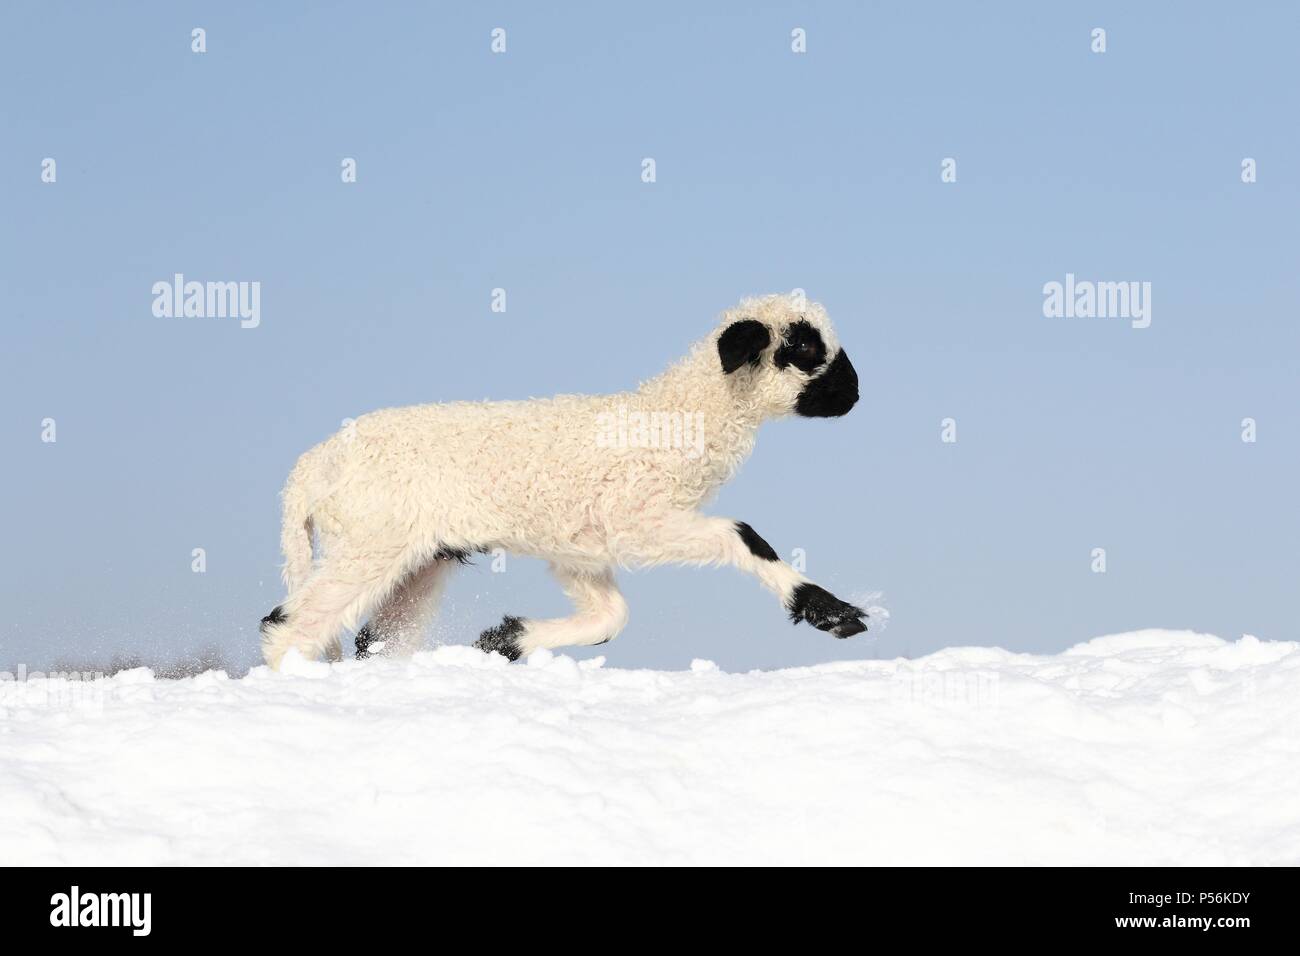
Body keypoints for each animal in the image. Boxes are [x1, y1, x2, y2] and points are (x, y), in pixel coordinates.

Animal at [259, 293, 866, 669]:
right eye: (803, 347)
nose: (855, 393)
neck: (672, 417)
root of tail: (309, 468)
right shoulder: (637, 521)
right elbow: (741, 534)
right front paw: (833, 613)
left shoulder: (579, 551)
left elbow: (610, 618)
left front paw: (503, 639)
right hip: (370, 541)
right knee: (289, 627)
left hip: (418, 558)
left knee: (374, 639)